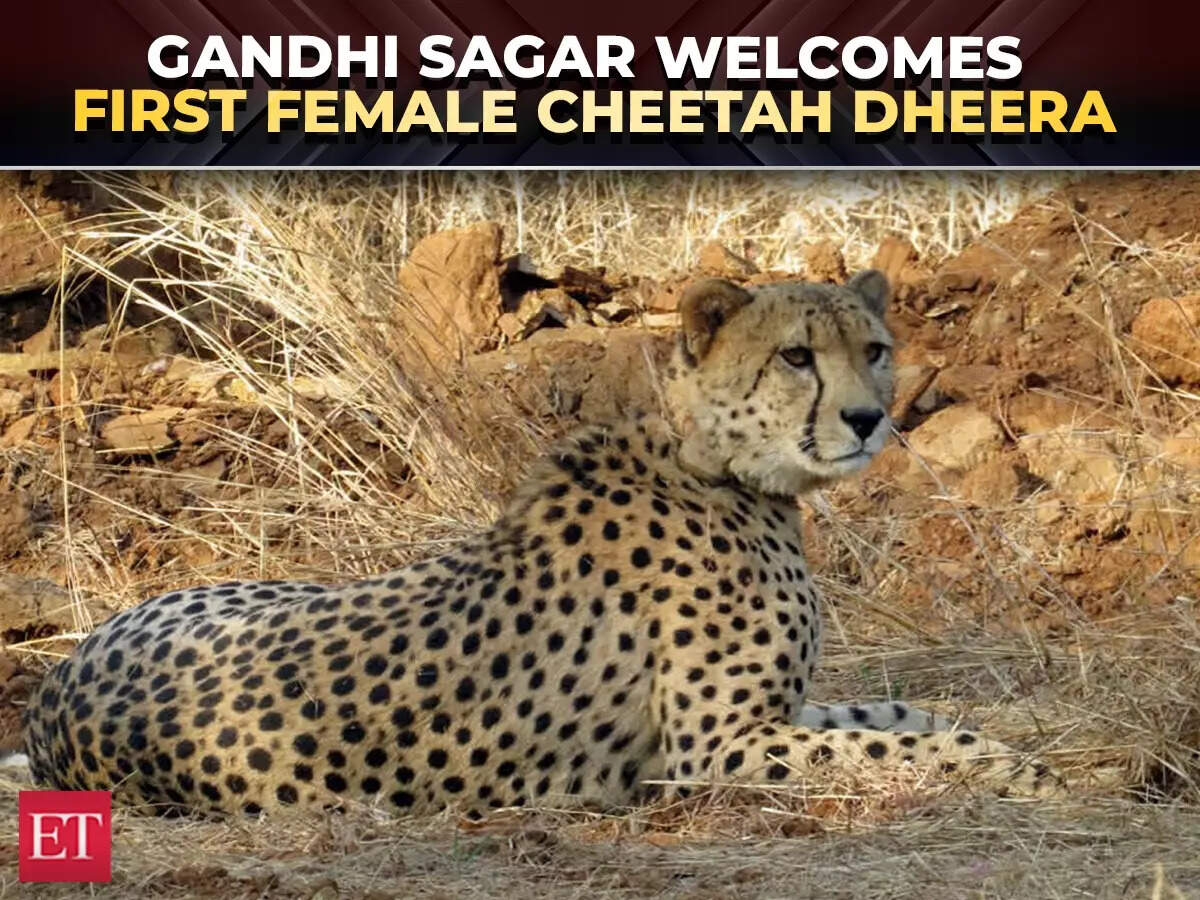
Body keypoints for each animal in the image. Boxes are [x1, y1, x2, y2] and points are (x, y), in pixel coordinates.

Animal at [23, 269, 1063, 818]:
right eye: (796, 357)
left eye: (874, 348)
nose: (866, 418)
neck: (717, 464)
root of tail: (49, 704)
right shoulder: (710, 749)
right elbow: (886, 747)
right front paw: (1010, 769)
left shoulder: (775, 714)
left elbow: (899, 716)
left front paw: (999, 745)